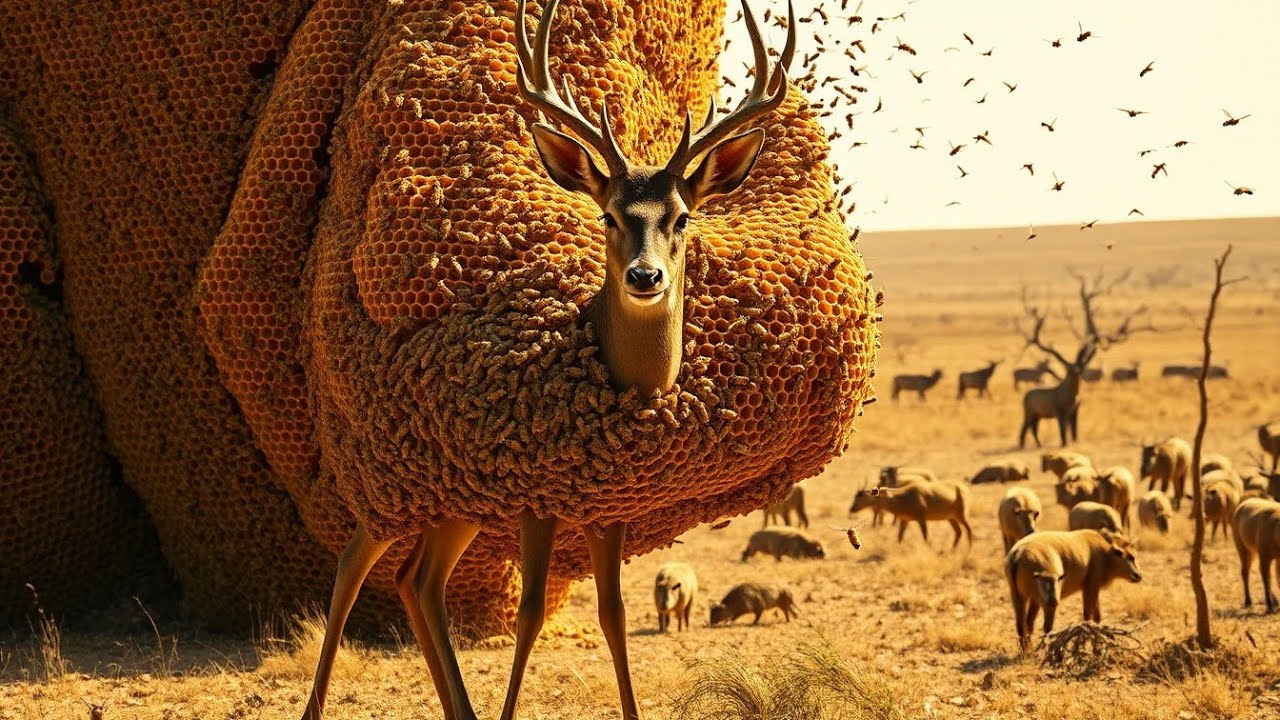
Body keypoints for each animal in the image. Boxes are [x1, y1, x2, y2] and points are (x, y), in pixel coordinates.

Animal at [298, 1, 797, 719]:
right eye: (610, 215)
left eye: (680, 217)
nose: (645, 277)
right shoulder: (539, 499)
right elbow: (531, 612)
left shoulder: (608, 509)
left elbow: (614, 614)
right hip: (396, 481)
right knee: (354, 564)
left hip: (458, 500)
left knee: (418, 578)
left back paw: (460, 710)